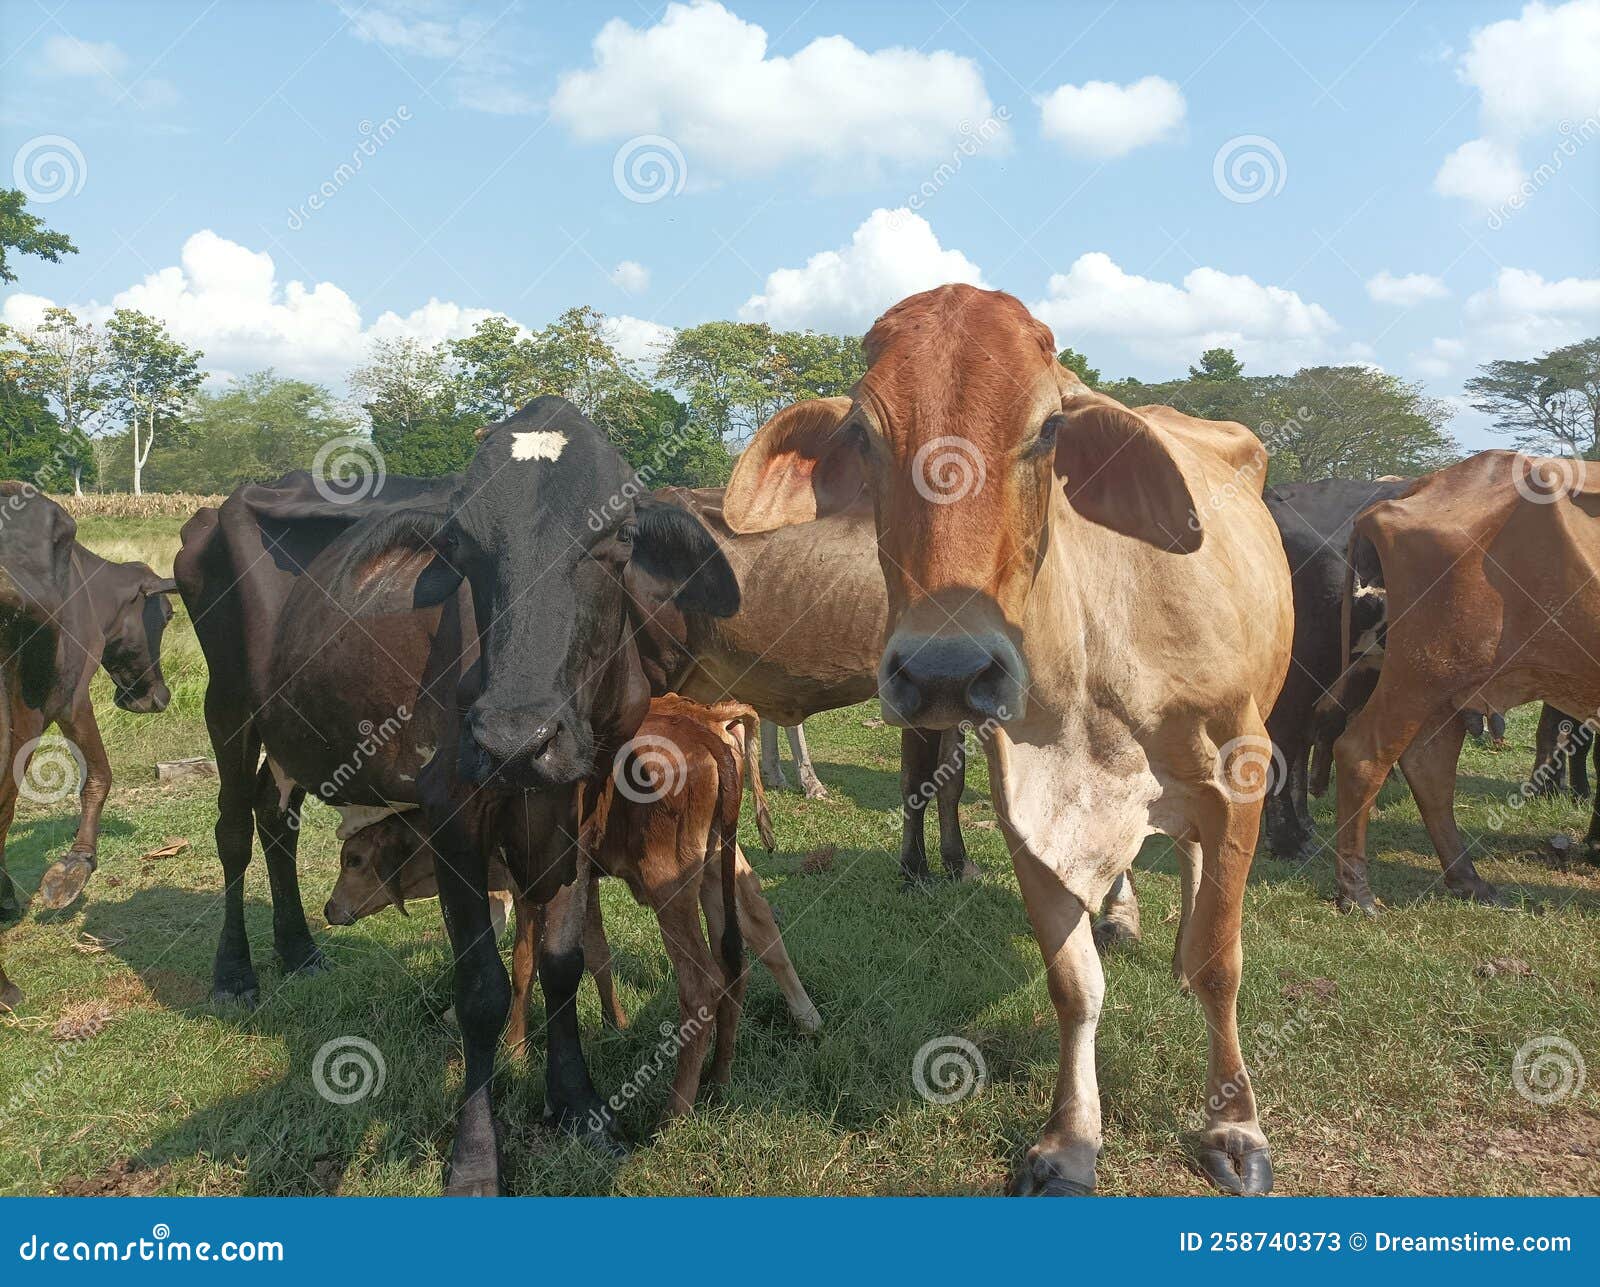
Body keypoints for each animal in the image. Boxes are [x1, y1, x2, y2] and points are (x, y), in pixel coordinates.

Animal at [177, 397, 740, 1195]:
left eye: (618, 538)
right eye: (459, 547)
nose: (514, 738)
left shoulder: (583, 793)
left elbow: (563, 960)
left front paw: (580, 1109)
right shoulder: (449, 806)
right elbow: (480, 987)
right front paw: (476, 1157)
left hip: (289, 730)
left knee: (274, 818)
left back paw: (299, 948)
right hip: (226, 705)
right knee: (231, 828)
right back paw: (235, 972)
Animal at [721, 284, 1294, 1196]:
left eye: (1049, 427)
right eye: (865, 433)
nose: (945, 668)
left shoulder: (1241, 769)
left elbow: (1219, 959)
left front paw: (1234, 1124)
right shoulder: (1028, 800)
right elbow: (1073, 984)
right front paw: (1070, 1138)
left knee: (1199, 872)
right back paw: (1123, 914)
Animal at [1331, 450, 1600, 913]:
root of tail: (1422, 484)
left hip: (1451, 689)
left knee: (1429, 767)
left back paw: (1467, 879)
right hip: (1420, 675)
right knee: (1361, 755)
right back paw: (1357, 892)